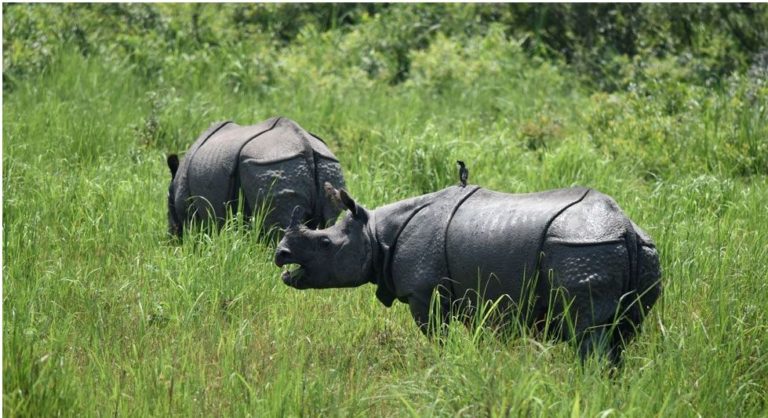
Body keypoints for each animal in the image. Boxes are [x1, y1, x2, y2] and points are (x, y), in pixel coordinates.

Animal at [166, 117, 346, 238]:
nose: (171, 237)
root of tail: (306, 145)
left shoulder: (188, 209)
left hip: (272, 165)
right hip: (326, 165)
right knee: (327, 223)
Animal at [275, 184, 662, 364]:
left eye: (325, 242)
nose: (281, 256)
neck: (375, 232)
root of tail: (624, 228)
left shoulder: (425, 292)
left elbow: (436, 334)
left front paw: (439, 363)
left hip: (582, 247)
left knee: (589, 332)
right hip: (641, 251)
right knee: (623, 332)